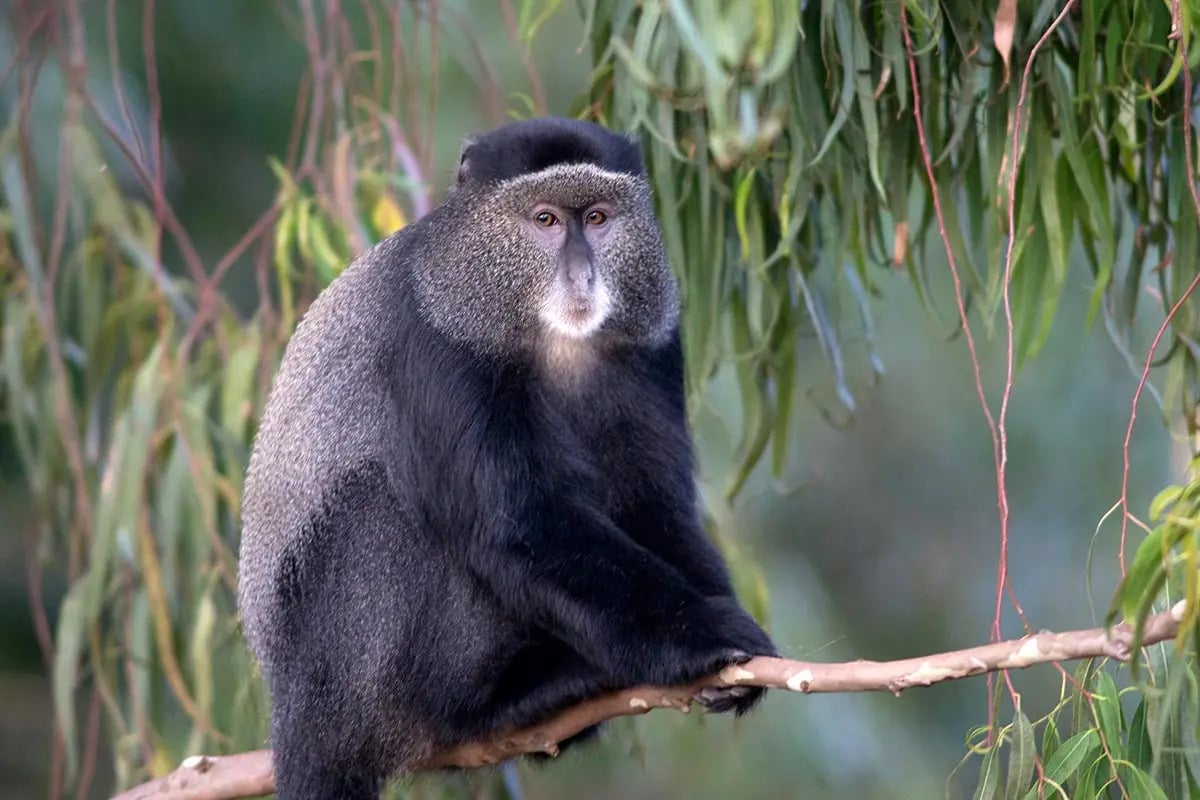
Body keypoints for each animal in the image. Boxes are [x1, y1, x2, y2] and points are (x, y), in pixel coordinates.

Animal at [237, 116, 779, 799]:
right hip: (352, 673)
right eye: (544, 220)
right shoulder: (438, 346)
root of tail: (301, 724)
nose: (582, 276)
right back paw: (494, 704)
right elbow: (518, 525)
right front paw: (706, 636)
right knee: (376, 507)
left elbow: (653, 507)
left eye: (597, 217)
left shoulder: (654, 343)